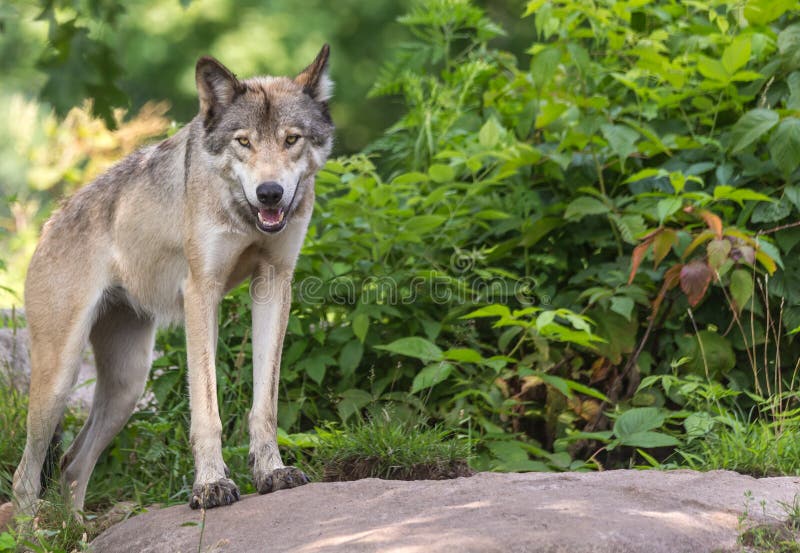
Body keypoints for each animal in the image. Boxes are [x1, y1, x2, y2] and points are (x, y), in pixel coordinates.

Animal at [12, 45, 334, 515]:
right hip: (60, 379)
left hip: (128, 386)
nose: (270, 193)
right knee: (25, 477)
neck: (241, 211)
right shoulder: (201, 293)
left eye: (291, 139)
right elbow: (207, 411)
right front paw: (211, 485)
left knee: (72, 464)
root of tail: (50, 222)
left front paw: (272, 473)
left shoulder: (274, 283)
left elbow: (265, 404)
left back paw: (77, 528)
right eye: (244, 142)